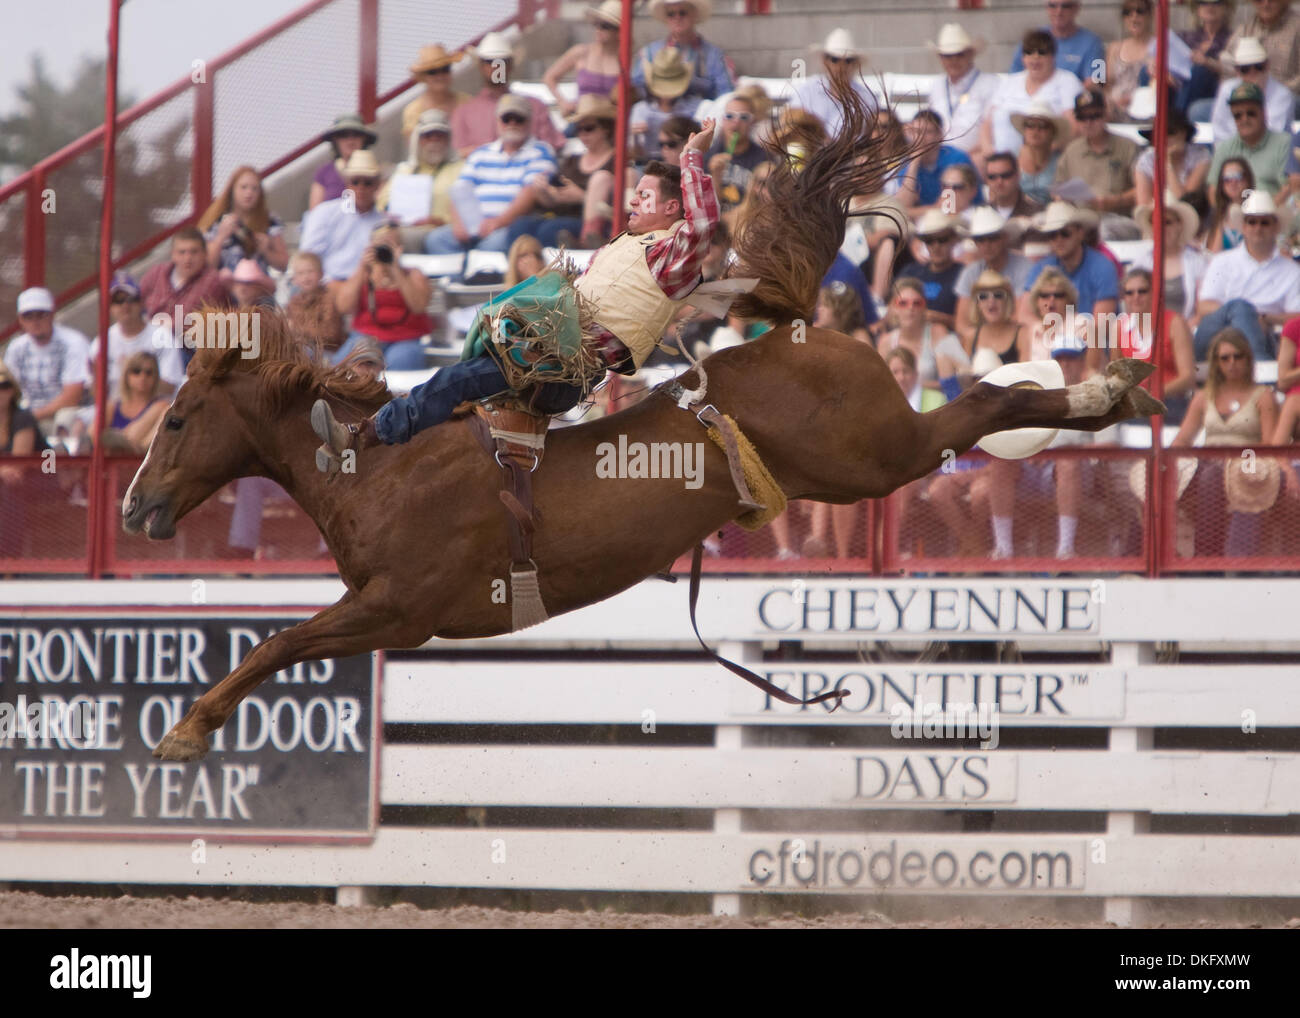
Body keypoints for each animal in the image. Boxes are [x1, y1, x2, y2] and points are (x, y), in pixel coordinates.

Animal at [124, 75, 1163, 761]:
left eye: (174, 421)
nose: (135, 509)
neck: (378, 470)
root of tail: (800, 329)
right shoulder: (383, 611)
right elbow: (284, 638)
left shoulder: (396, 610)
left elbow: (280, 639)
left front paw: (186, 731)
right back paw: (1113, 393)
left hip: (879, 454)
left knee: (983, 405)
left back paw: (1100, 392)